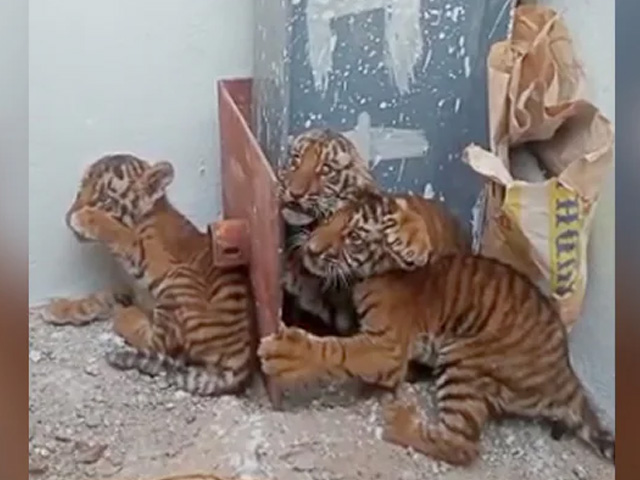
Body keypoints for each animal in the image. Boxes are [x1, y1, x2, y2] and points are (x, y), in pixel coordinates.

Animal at [53, 153, 255, 396]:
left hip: (178, 280)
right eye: (79, 190)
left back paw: (127, 315)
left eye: (104, 199)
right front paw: (59, 308)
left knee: (160, 343)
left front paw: (86, 218)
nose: (67, 218)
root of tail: (241, 365)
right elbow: (102, 296)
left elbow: (119, 233)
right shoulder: (131, 286)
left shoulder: (146, 254)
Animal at [257, 190, 614, 466]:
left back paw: (398, 422)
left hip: (466, 361)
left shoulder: (386, 348)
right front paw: (288, 266)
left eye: (354, 236)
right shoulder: (344, 311)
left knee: (462, 445)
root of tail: (566, 375)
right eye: (329, 217)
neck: (372, 275)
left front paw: (286, 353)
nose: (312, 248)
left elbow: (336, 351)